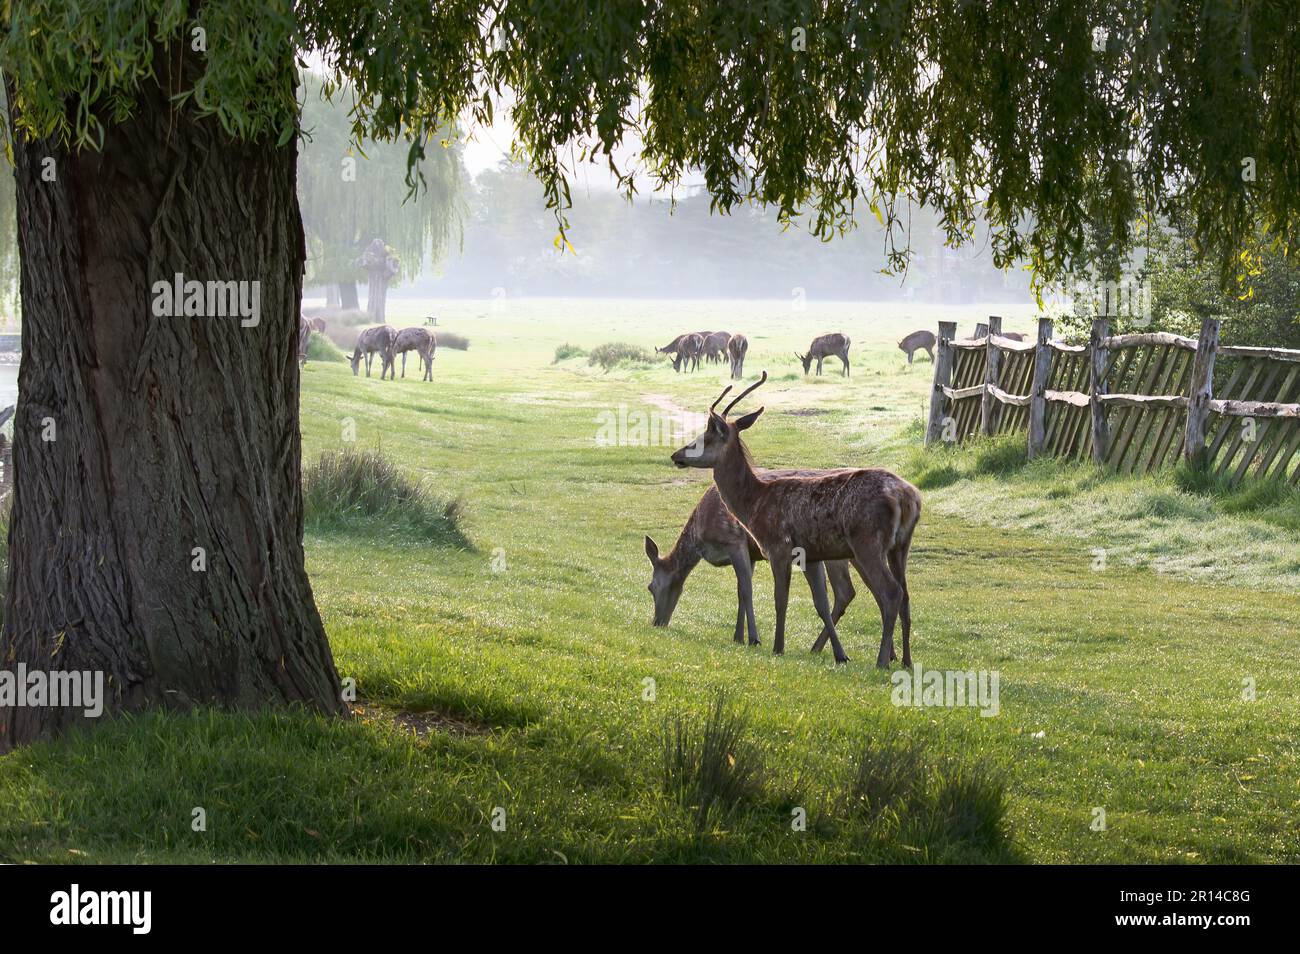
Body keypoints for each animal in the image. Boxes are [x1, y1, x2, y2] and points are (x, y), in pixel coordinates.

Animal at [645, 481, 862, 662]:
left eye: (651, 587)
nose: (656, 622)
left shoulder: (734, 540)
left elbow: (747, 590)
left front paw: (753, 638)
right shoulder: (751, 554)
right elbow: (740, 591)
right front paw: (738, 637)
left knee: (844, 590)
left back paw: (821, 648)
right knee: (847, 591)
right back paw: (821, 648)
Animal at [670, 371, 921, 668]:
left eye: (701, 439)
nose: (676, 455)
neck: (754, 504)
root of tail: (907, 496)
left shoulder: (778, 546)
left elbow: (781, 598)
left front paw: (777, 647)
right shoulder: (811, 555)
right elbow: (819, 603)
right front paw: (838, 654)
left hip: (868, 541)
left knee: (891, 592)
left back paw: (882, 661)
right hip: (900, 546)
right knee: (905, 595)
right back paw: (906, 661)